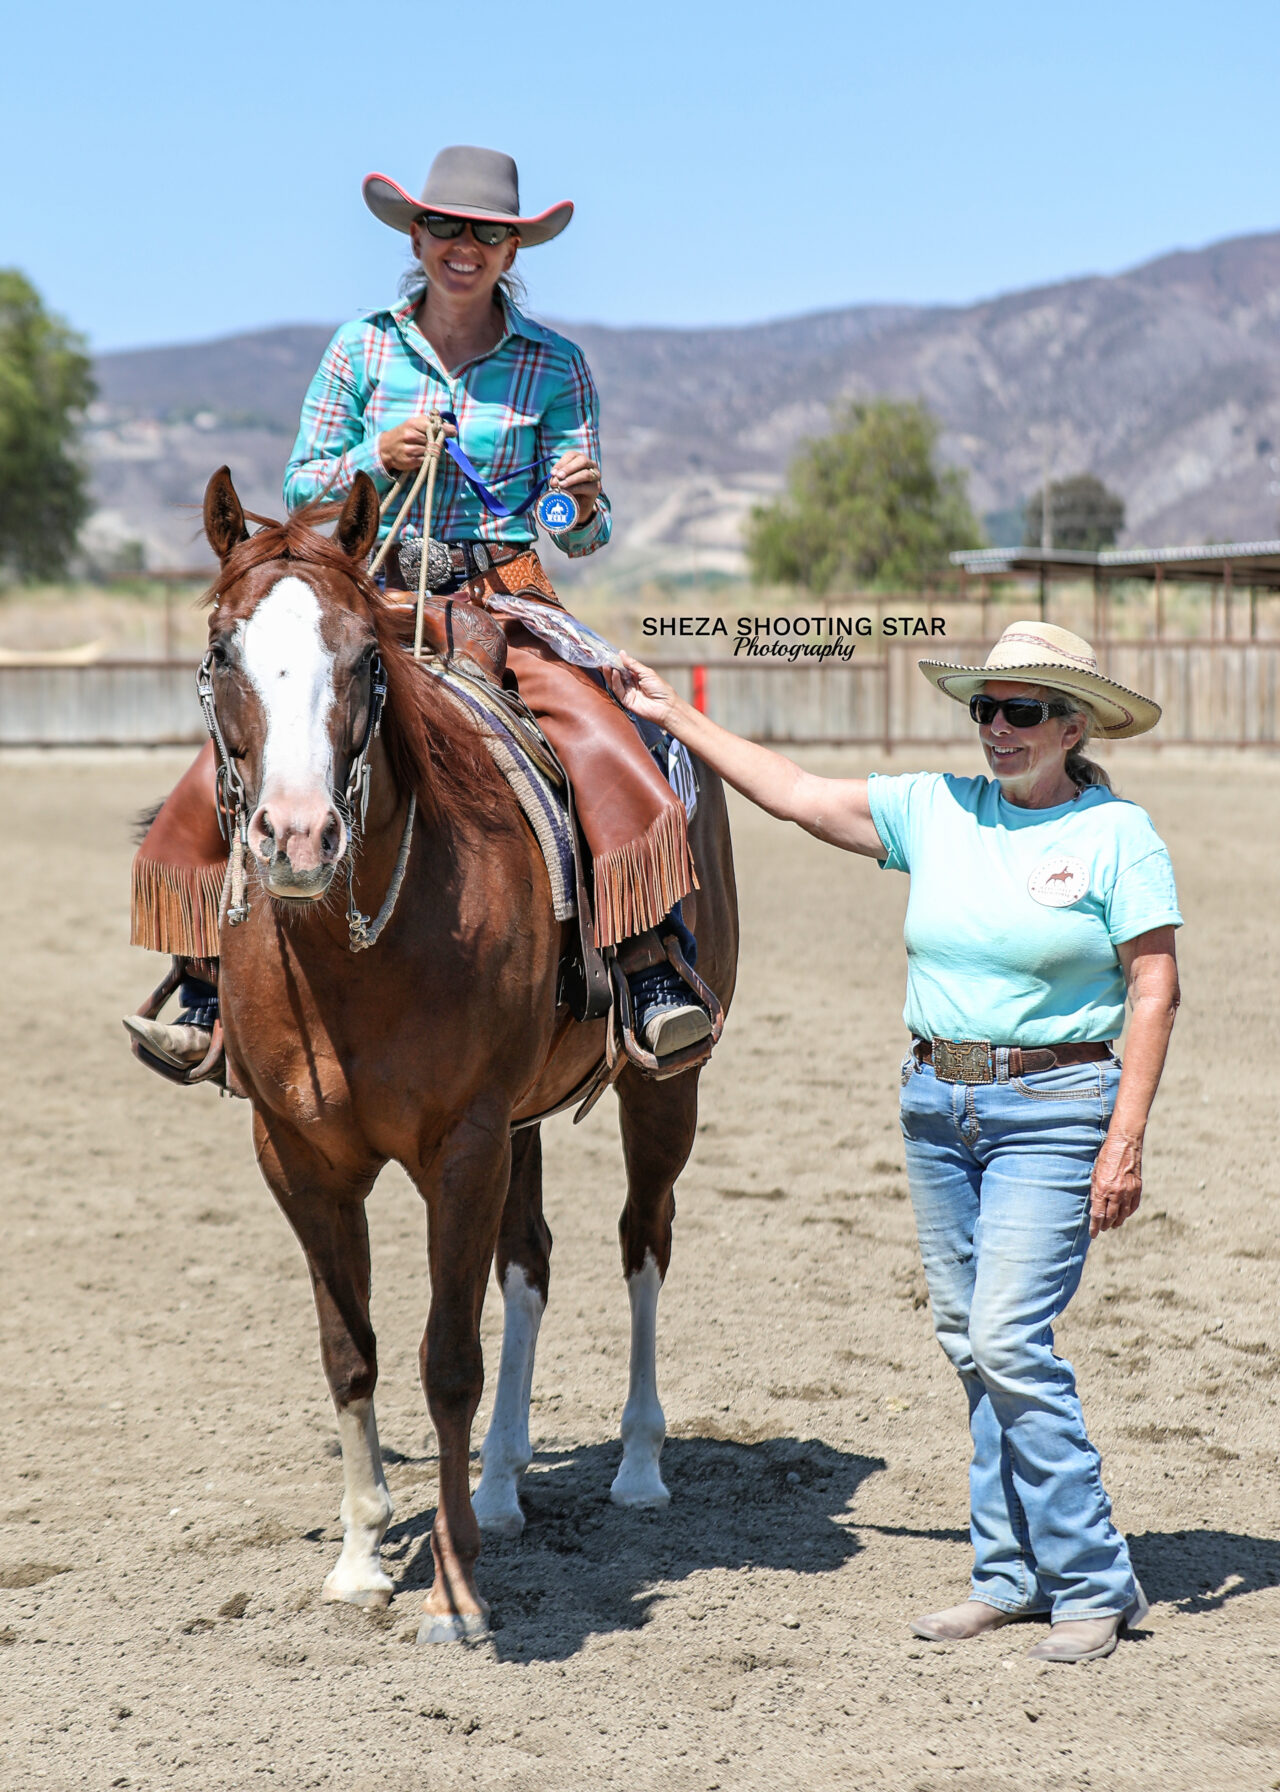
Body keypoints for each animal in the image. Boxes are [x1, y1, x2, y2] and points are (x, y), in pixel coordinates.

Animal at [194, 467, 739, 1642]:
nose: (296, 837)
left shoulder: (464, 1144)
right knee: (528, 1262)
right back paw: (499, 1485)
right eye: (221, 649)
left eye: (364, 655)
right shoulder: (297, 1158)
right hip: (524, 1119)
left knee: (642, 1242)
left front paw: (453, 1591)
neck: (351, 955)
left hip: (662, 1093)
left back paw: (636, 1465)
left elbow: (449, 1359)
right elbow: (351, 1352)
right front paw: (362, 1560)